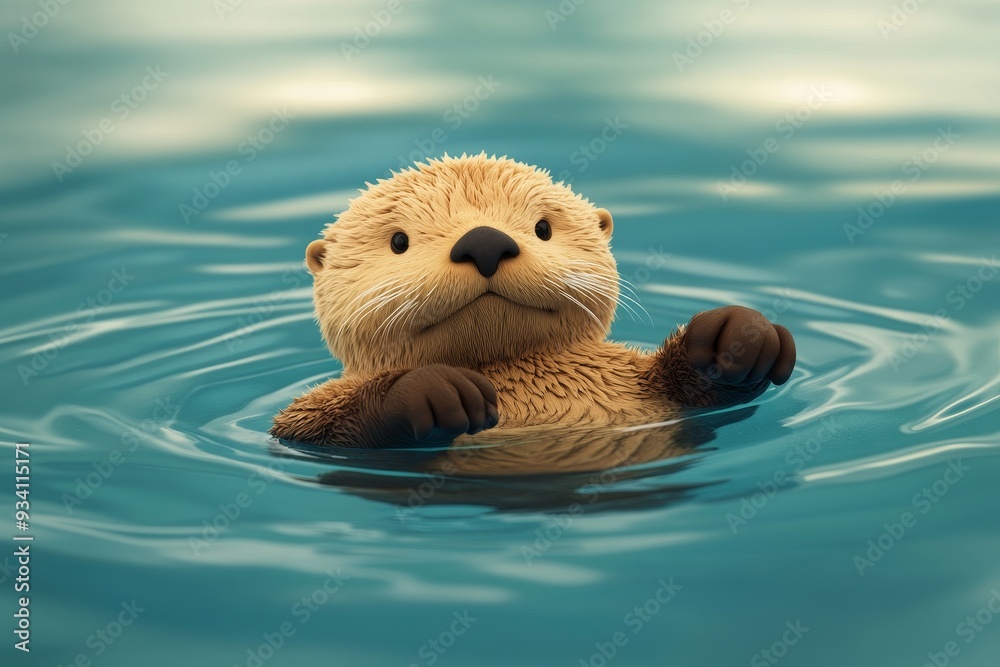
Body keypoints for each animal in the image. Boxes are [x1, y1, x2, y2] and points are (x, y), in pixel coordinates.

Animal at [271, 154, 795, 463]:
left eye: (543, 227)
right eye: (399, 241)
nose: (484, 241)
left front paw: (738, 334)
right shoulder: (304, 424)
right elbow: (320, 423)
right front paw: (431, 389)